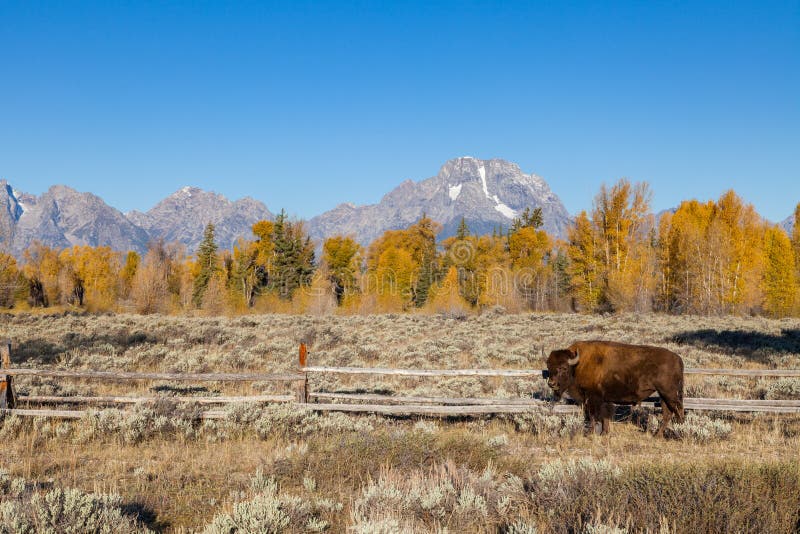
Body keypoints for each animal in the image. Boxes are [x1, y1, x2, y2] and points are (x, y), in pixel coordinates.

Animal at [545, 340, 685, 436]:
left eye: (563, 367)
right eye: (549, 366)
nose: (551, 383)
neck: (578, 365)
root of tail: (678, 358)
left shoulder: (592, 398)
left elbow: (593, 415)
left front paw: (591, 433)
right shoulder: (603, 399)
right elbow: (604, 416)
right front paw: (604, 433)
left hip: (669, 393)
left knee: (678, 409)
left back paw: (680, 430)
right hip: (663, 395)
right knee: (668, 413)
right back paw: (657, 435)